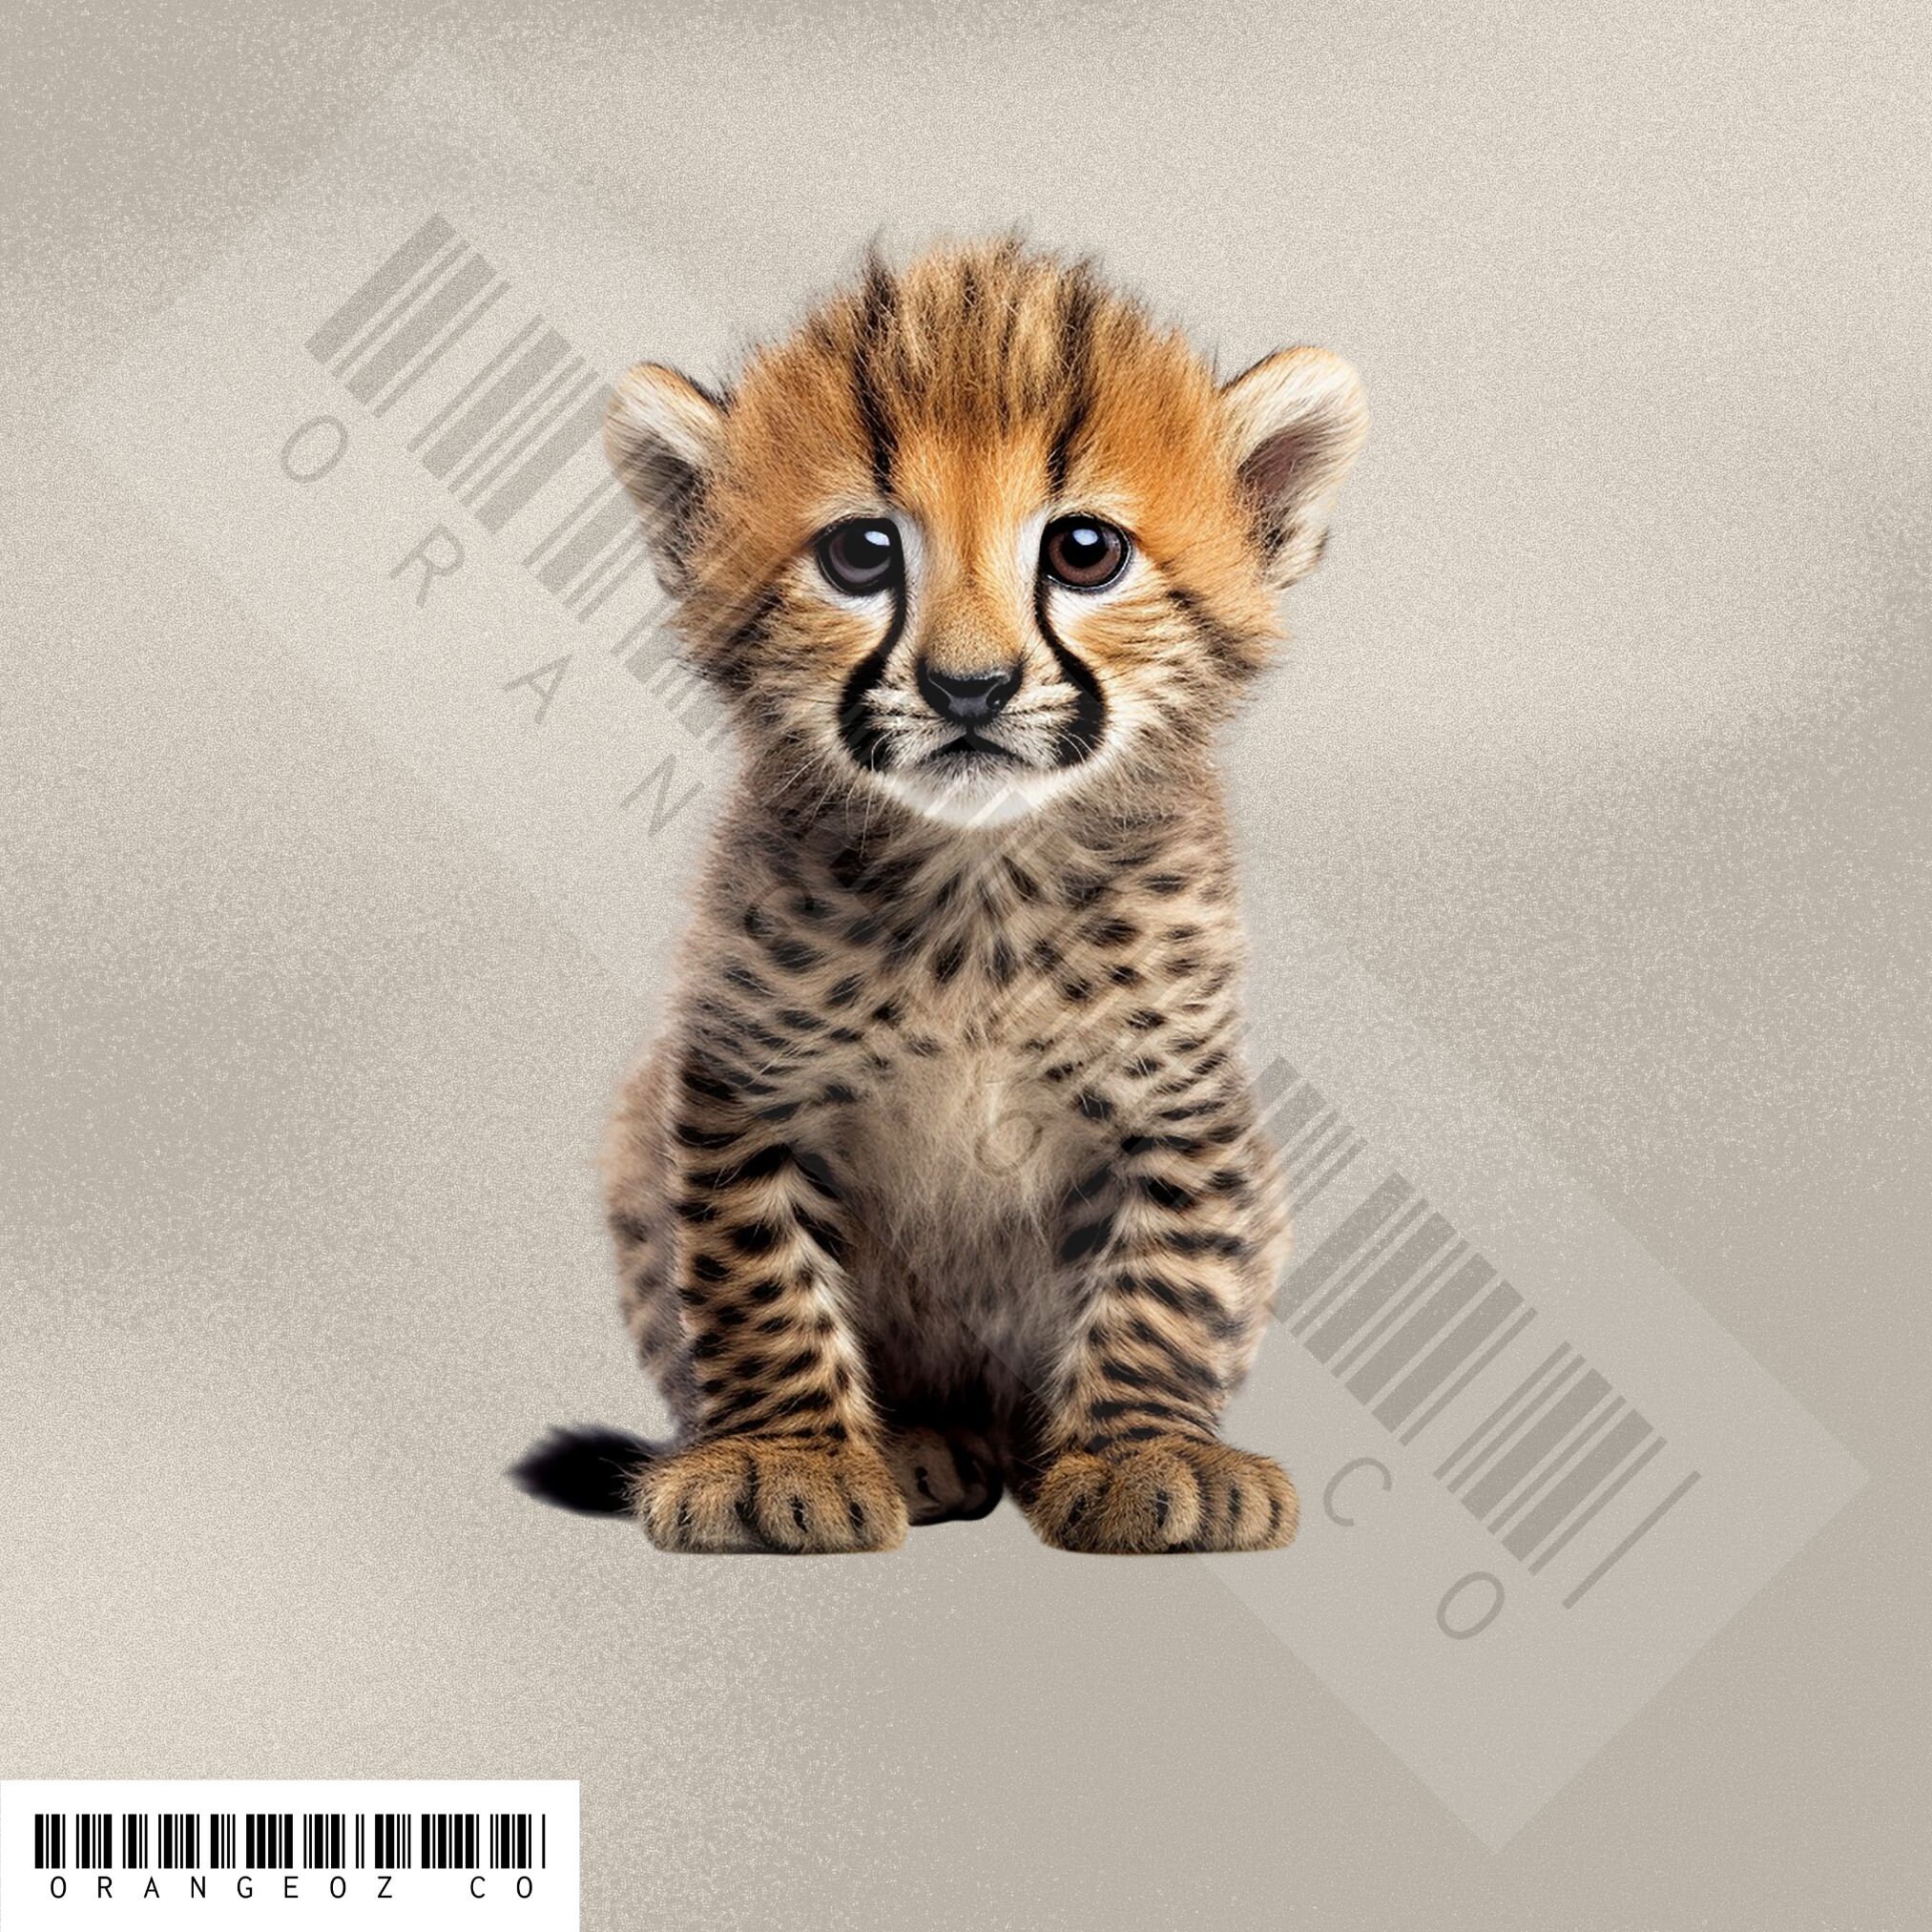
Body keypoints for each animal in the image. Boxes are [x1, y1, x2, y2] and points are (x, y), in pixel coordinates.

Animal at [513, 238, 1367, 1554]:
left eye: (1084, 552)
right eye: (862, 555)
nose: (971, 688)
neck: (981, 884)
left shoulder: (1175, 1101)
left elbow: (1167, 1280)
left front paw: (1147, 1452)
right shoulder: (743, 1081)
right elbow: (758, 1272)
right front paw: (787, 1457)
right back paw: (919, 1445)